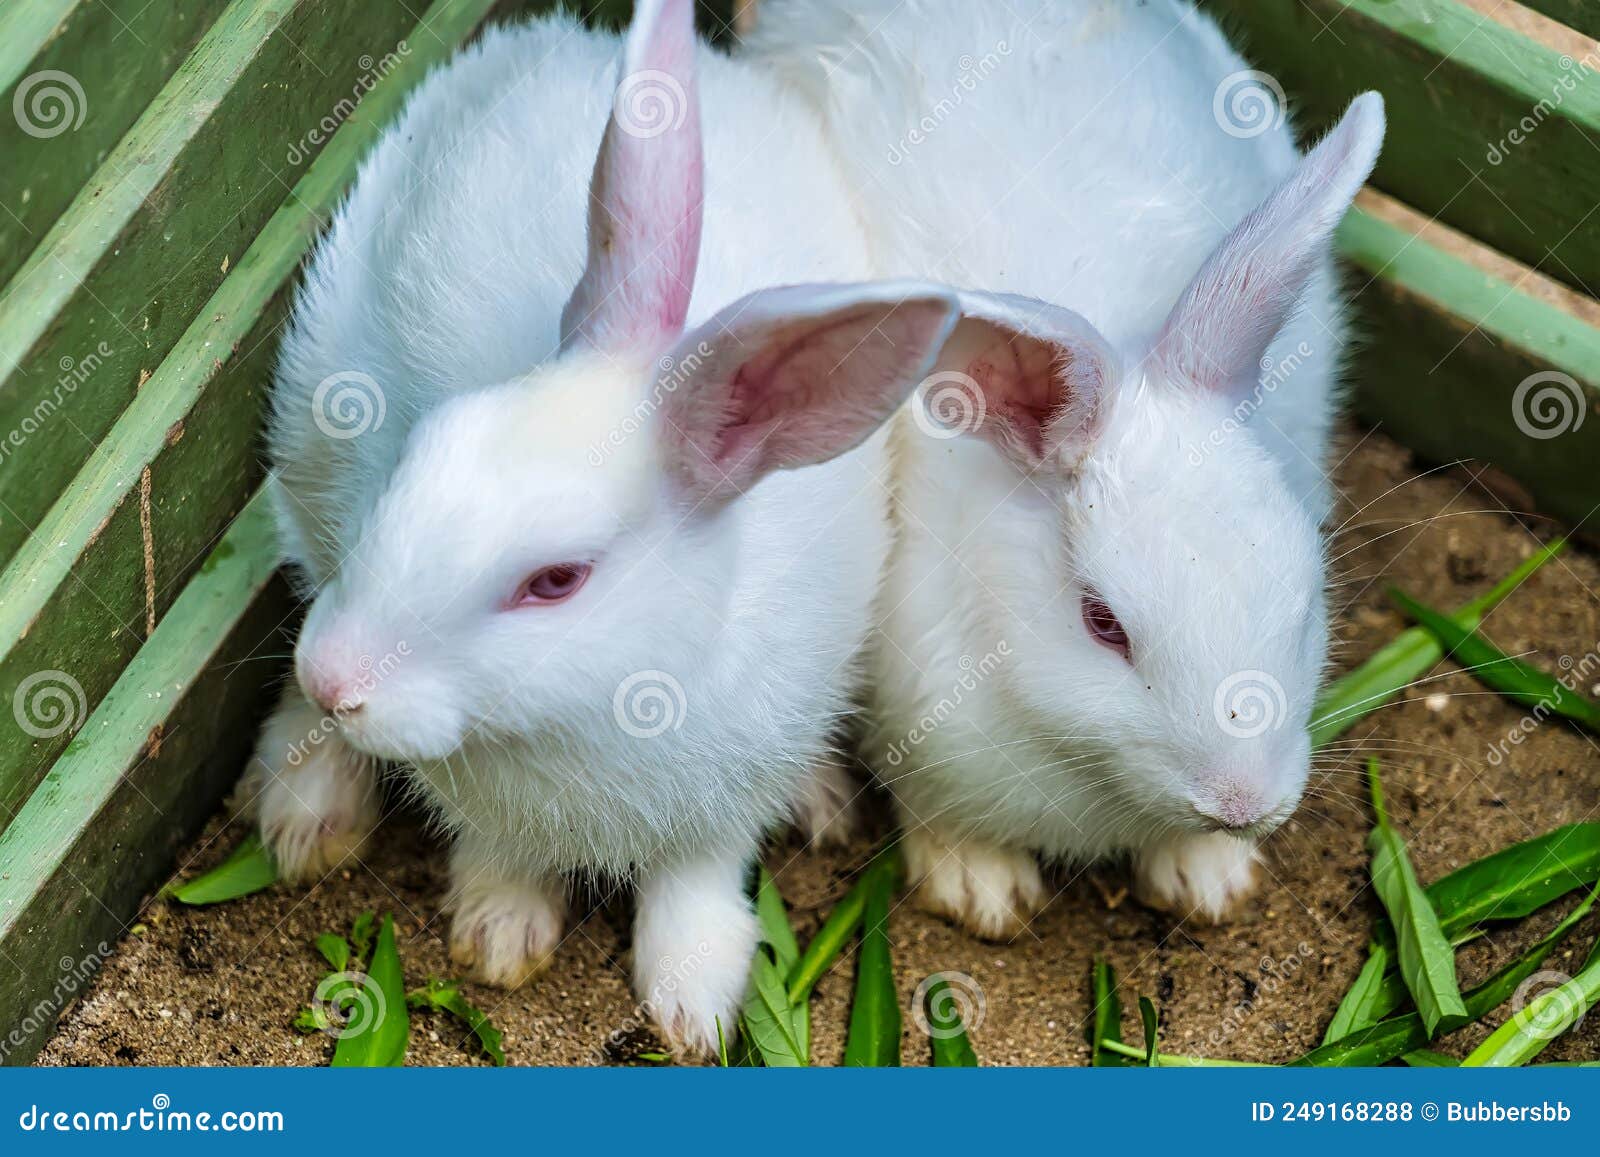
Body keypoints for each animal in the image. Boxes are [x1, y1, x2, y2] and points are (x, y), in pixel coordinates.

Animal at [244, 0, 961, 1054]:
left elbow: (697, 882)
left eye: (557, 580)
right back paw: (306, 814)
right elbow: (497, 850)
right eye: (424, 446)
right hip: (307, 467)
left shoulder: (731, 790)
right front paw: (500, 935)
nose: (338, 679)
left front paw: (693, 1006)